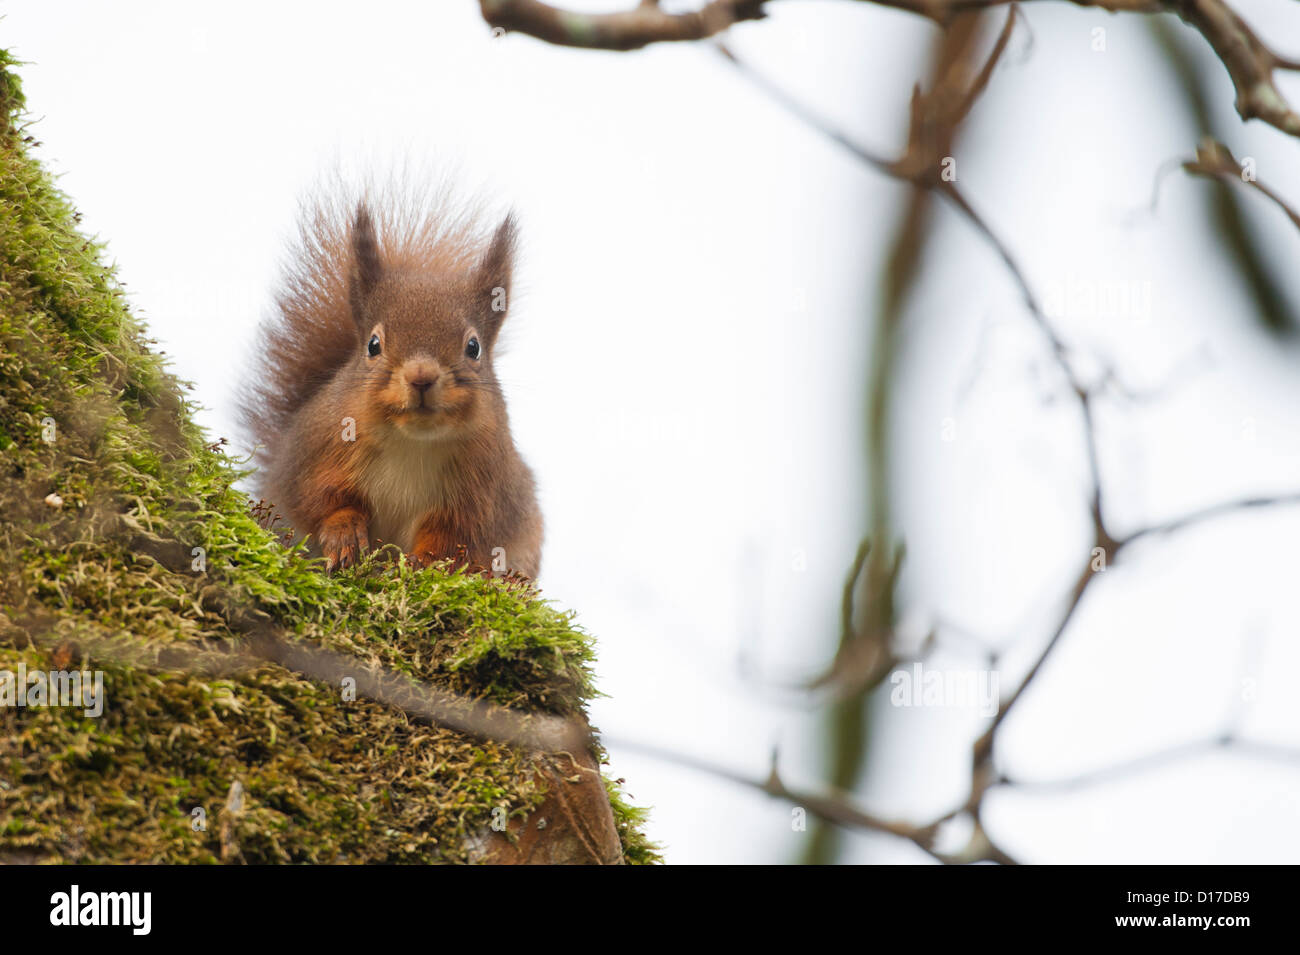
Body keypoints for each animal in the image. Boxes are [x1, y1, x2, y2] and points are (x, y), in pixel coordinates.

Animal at [239, 184, 543, 578]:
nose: (421, 376)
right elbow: (319, 501)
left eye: (473, 347)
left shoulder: (483, 490)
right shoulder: (314, 453)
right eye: (373, 344)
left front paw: (423, 562)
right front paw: (344, 533)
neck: (411, 442)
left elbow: (454, 539)